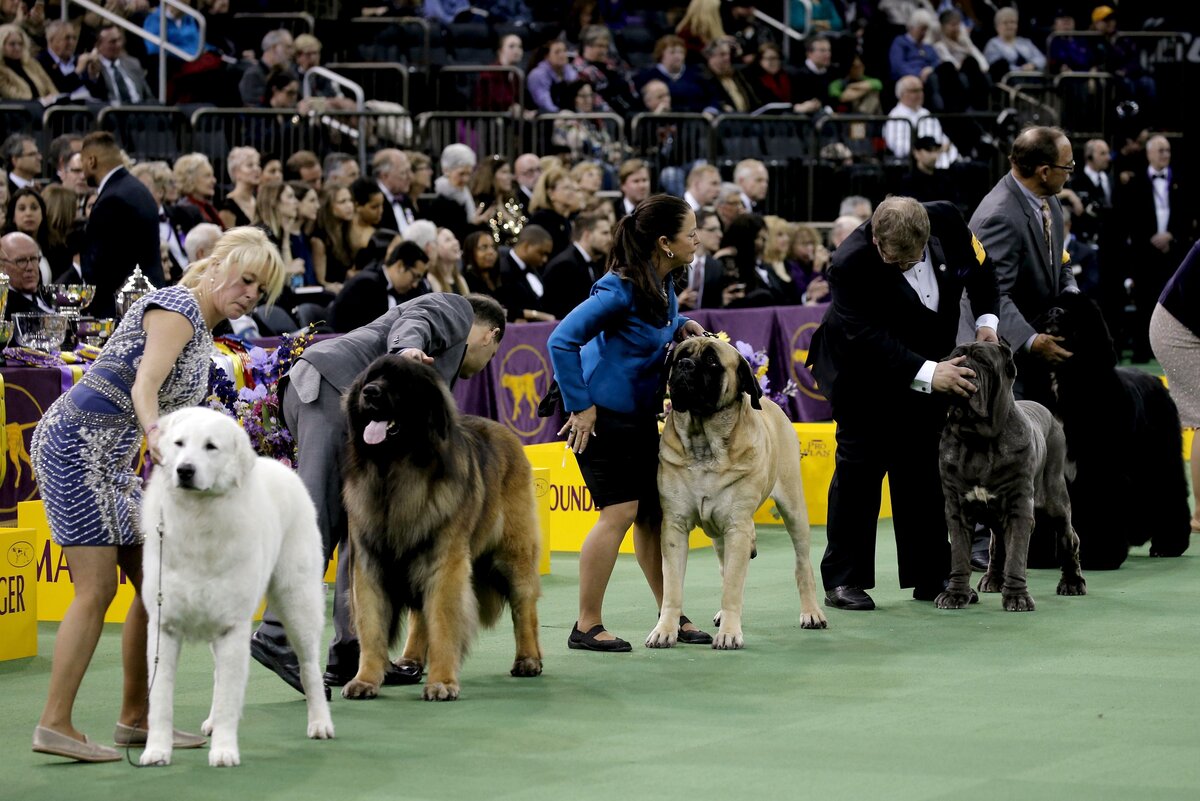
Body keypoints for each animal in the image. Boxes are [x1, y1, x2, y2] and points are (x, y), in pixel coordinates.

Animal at [140, 410, 333, 767]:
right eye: (179, 444)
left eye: (210, 447)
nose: (184, 470)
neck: (197, 518)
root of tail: (281, 467)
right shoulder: (164, 628)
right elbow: (160, 699)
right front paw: (157, 750)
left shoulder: (232, 627)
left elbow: (230, 697)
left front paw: (224, 752)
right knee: (219, 677)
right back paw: (211, 723)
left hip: (298, 603)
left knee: (310, 668)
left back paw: (320, 723)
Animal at [338, 357, 544, 700]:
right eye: (370, 378)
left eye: (400, 382)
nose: (370, 392)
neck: (395, 472)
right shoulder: (370, 566)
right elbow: (371, 626)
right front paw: (365, 679)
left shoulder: (445, 564)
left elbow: (444, 624)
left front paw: (442, 682)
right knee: (420, 617)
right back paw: (409, 659)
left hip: (513, 556)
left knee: (523, 607)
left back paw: (528, 659)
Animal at [931, 340, 1094, 609]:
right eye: (957, 356)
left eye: (983, 362)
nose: (963, 369)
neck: (978, 439)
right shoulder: (957, 508)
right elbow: (960, 555)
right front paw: (955, 593)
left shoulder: (1019, 508)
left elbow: (1017, 553)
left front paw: (1017, 596)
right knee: (997, 545)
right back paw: (994, 579)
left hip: (1055, 502)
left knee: (1069, 537)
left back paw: (1072, 582)